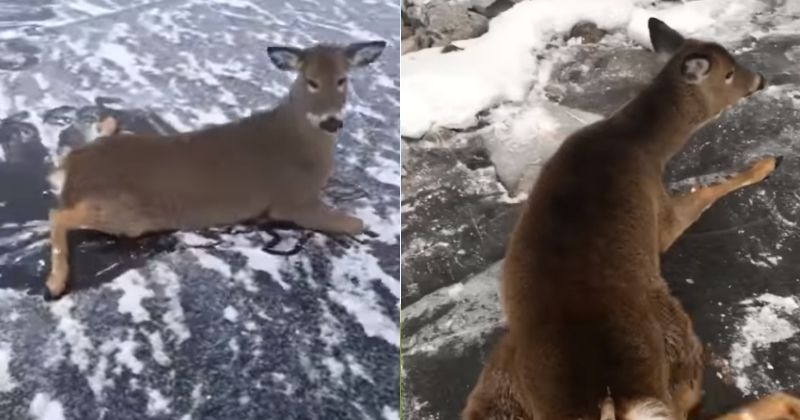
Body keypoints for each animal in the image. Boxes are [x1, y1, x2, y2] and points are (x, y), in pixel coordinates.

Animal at [44, 40, 387, 299]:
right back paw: (55, 282)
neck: (304, 145)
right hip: (127, 213)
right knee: (56, 214)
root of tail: (73, 169)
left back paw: (109, 121)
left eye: (343, 79)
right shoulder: (291, 201)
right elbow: (355, 223)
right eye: (311, 81)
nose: (331, 121)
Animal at [461, 18, 799, 420]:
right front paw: (767, 163)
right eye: (729, 72)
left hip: (498, 379)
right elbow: (704, 193)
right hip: (673, 337)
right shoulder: (660, 216)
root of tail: (608, 401)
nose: (760, 79)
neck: (637, 142)